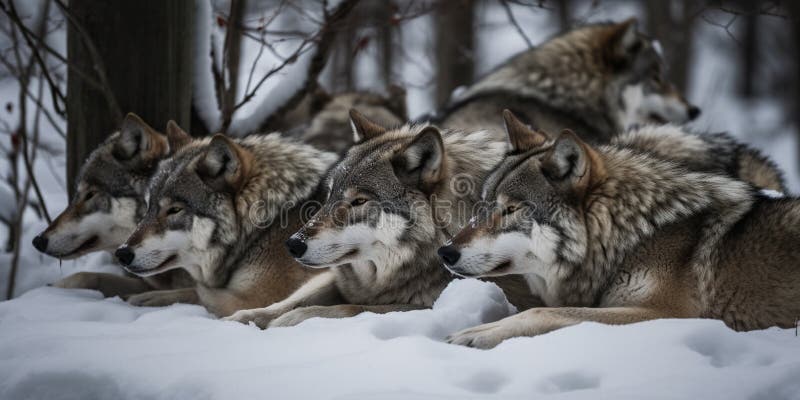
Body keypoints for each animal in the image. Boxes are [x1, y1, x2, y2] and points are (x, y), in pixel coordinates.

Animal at [114, 132, 338, 316]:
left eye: (174, 210)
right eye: (148, 206)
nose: (122, 253)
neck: (263, 227)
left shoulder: (251, 298)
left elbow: (194, 293)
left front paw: (145, 298)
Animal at [223, 110, 539, 328]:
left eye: (359, 201)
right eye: (330, 194)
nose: (293, 245)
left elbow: (352, 308)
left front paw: (293, 321)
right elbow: (288, 303)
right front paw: (240, 320)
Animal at [438, 111, 800, 348]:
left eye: (511, 209)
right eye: (483, 204)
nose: (445, 251)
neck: (631, 235)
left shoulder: (668, 313)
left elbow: (544, 311)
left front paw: (479, 332)